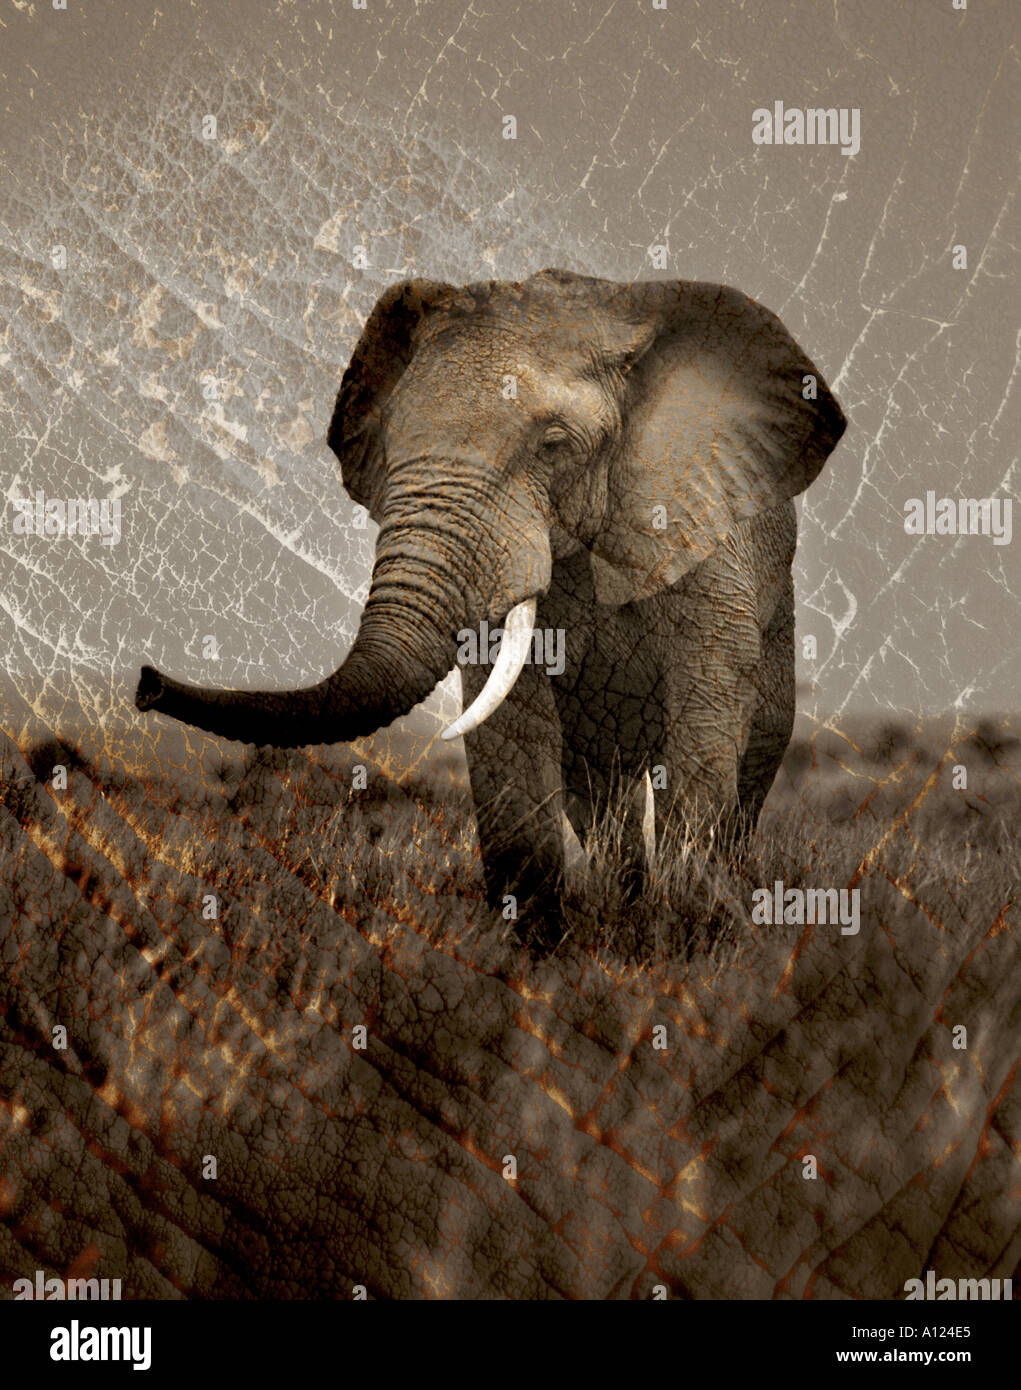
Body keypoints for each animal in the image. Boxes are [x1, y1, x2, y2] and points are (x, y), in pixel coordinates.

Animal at [136, 269, 846, 921]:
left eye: (554, 445)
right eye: (388, 448)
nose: (145, 683)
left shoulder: (700, 523)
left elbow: (706, 701)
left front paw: (682, 935)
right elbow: (509, 720)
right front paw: (540, 951)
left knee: (753, 754)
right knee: (599, 790)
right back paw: (624, 907)